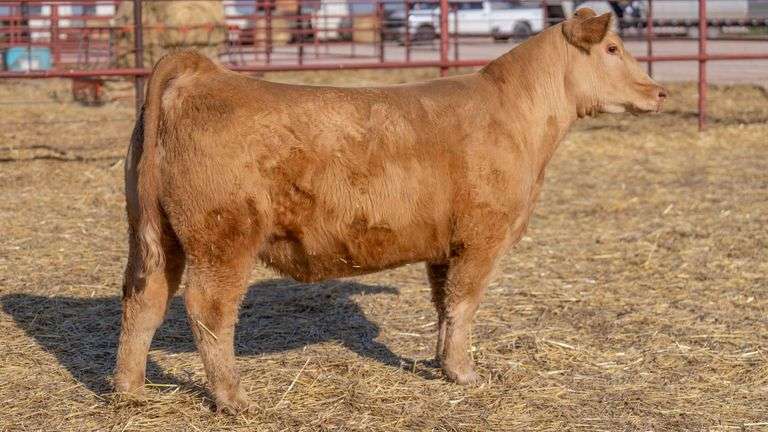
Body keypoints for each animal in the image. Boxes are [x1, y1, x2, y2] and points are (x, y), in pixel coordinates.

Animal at [114, 8, 667, 413]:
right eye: (612, 48)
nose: (660, 91)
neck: (517, 118)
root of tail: (201, 74)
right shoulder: (482, 237)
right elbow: (465, 304)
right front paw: (466, 374)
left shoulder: (444, 246)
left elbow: (444, 304)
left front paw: (441, 365)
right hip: (224, 238)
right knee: (208, 309)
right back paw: (236, 401)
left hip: (156, 234)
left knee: (144, 300)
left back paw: (131, 390)